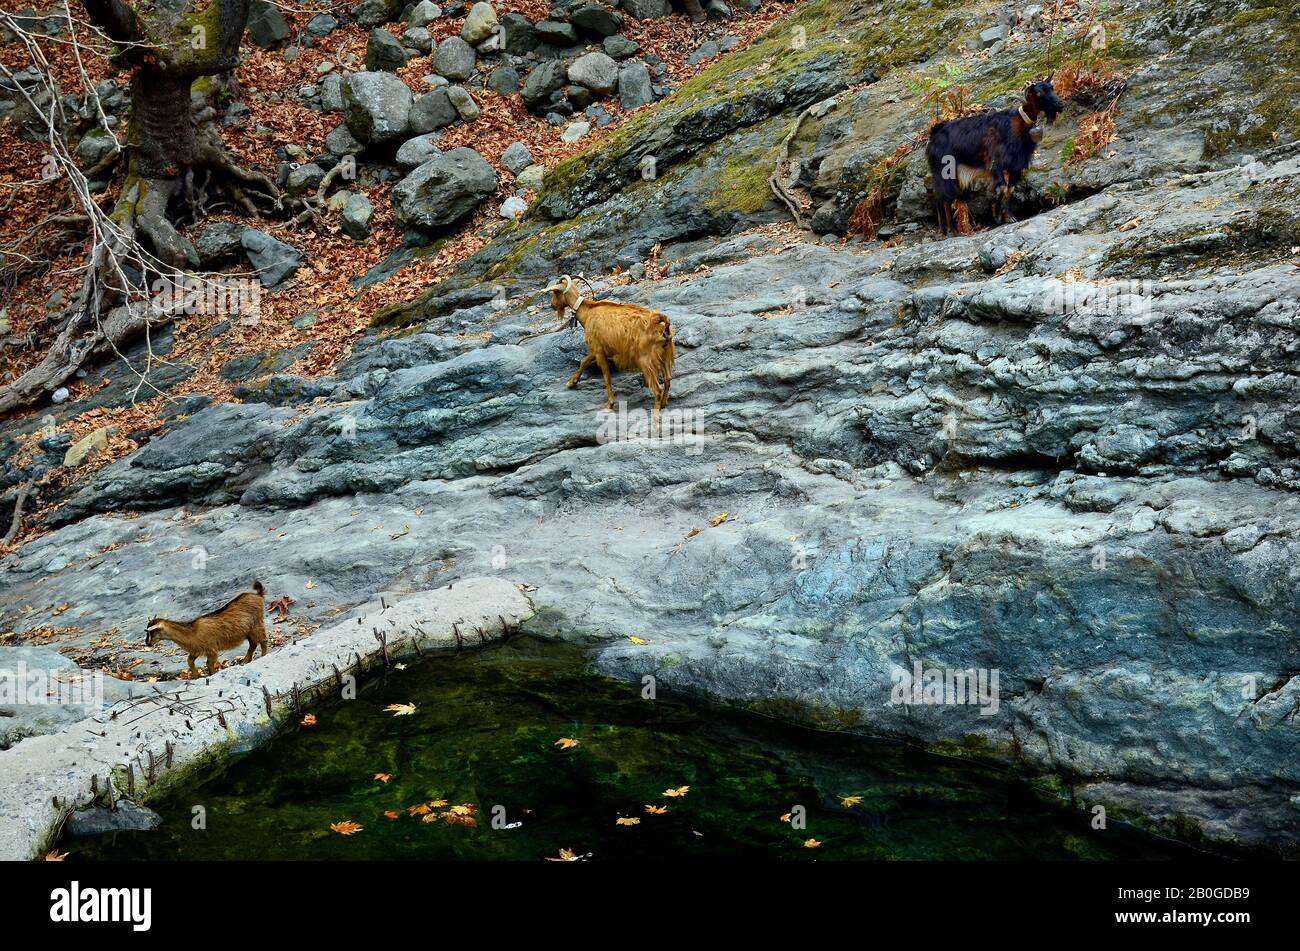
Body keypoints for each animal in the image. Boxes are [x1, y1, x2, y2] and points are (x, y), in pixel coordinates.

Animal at [543, 274, 676, 418]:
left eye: (555, 292)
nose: (552, 305)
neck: (588, 312)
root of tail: (662, 325)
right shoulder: (596, 348)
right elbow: (584, 362)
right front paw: (571, 382)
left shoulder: (598, 350)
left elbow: (607, 377)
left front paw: (610, 404)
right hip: (666, 353)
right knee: (668, 379)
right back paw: (664, 404)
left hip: (645, 359)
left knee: (658, 389)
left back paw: (656, 413)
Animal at [926, 78, 1065, 235]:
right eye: (1039, 93)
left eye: (1051, 87)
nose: (1060, 104)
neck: (1016, 125)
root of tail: (933, 137)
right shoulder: (995, 164)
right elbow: (1002, 188)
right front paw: (997, 216)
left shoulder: (1015, 166)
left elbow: (1010, 189)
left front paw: (1009, 217)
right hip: (944, 171)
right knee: (942, 197)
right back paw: (949, 231)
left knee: (945, 197)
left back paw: (949, 230)